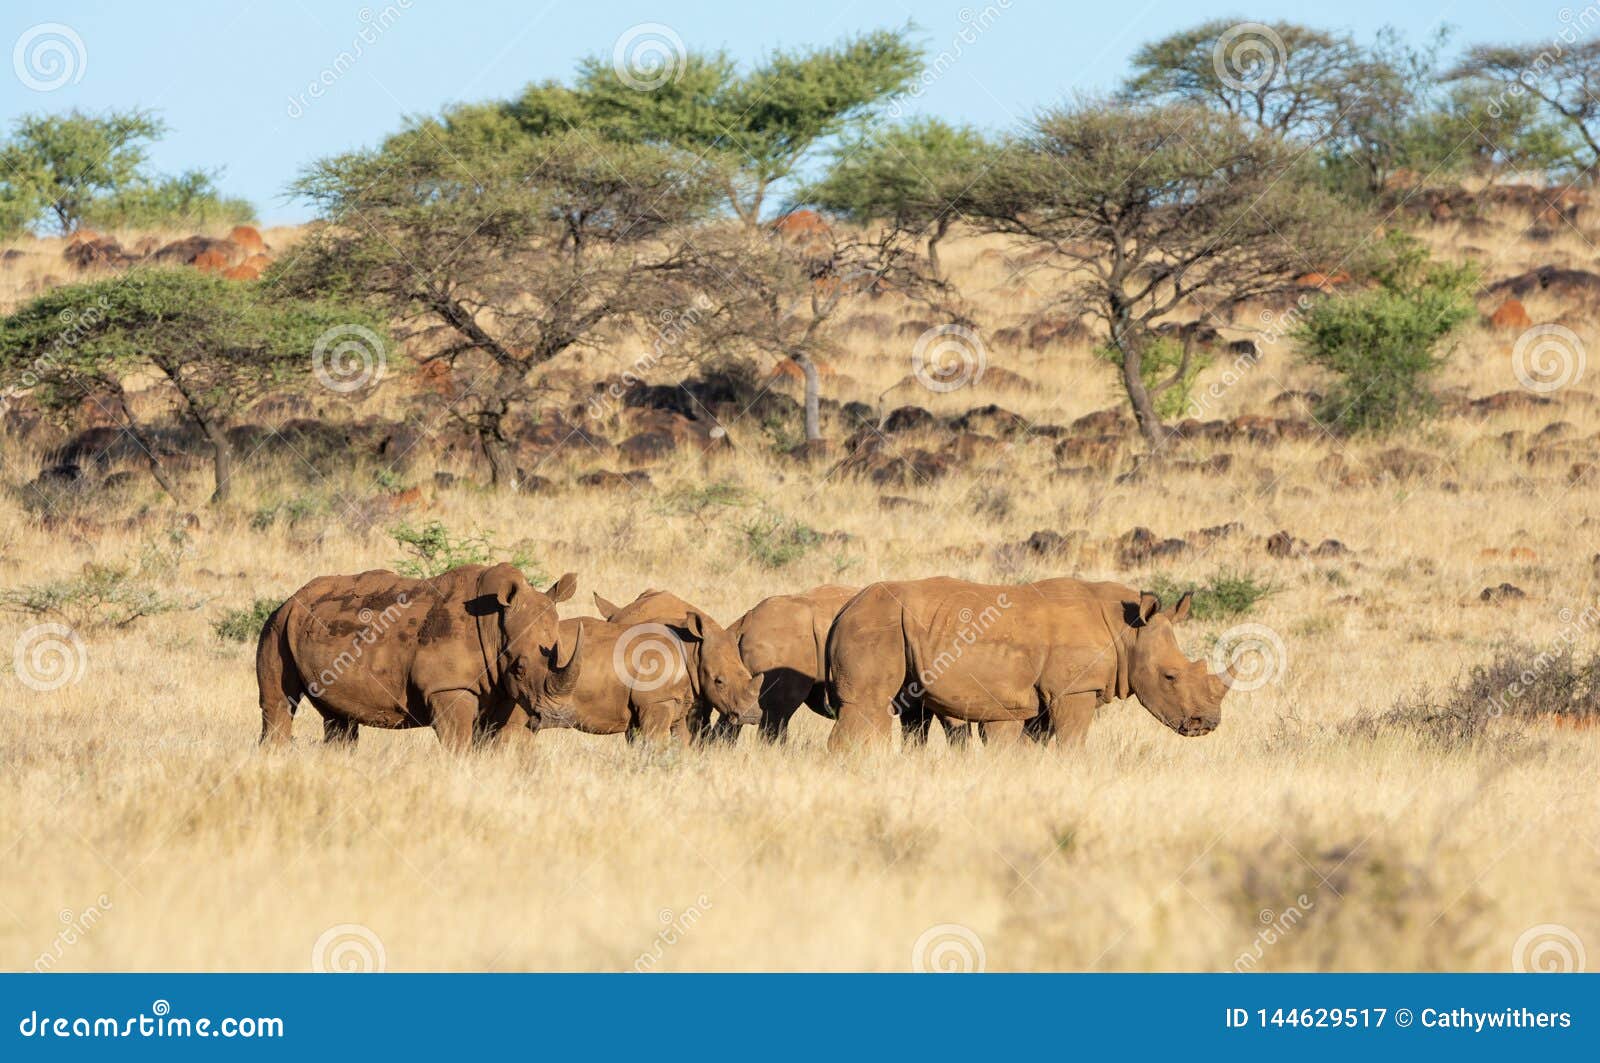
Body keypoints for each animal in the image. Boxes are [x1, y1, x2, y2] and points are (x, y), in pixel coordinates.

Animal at [256, 563, 582, 752]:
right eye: (520, 667)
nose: (553, 717)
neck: (495, 624)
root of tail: (292, 598)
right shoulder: (447, 687)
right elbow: (458, 742)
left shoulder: (503, 687)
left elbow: (498, 740)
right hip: (277, 625)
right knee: (280, 703)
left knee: (338, 718)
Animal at [531, 606, 762, 742]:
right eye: (719, 681)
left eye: (748, 673)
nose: (751, 716)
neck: (693, 649)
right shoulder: (656, 701)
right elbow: (654, 742)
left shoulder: (676, 701)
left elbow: (682, 742)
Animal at [825, 577, 1225, 752]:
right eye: (1170, 676)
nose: (1206, 724)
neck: (1127, 632)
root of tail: (844, 608)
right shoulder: (1074, 690)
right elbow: (1072, 740)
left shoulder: (1042, 695)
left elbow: (1032, 746)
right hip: (878, 624)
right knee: (868, 706)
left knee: (910, 713)